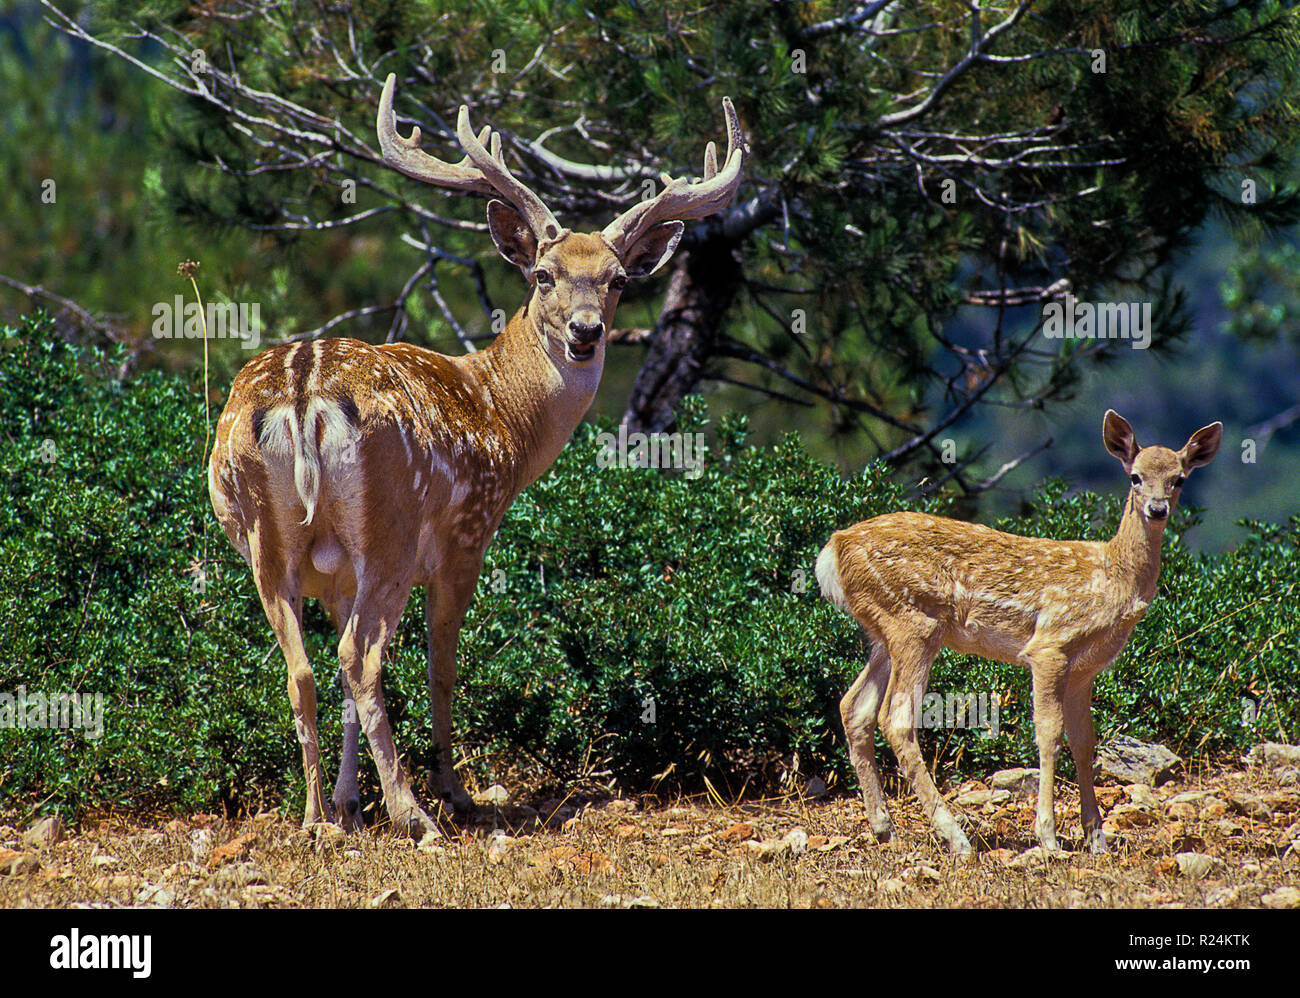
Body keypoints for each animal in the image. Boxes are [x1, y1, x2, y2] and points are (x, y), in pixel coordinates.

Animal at [207, 74, 745, 838]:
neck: (500, 410)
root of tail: (303, 395)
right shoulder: (468, 532)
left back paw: (314, 818)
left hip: (260, 537)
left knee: (306, 667)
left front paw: (348, 803)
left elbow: (336, 684)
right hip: (393, 527)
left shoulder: (336, 575)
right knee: (361, 658)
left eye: (616, 279)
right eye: (544, 274)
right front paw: (450, 793)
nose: (587, 332)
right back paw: (417, 817)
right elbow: (441, 666)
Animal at [815, 411, 1222, 857]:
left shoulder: (1085, 670)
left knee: (854, 707)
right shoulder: (1050, 645)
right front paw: (1049, 835)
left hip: (882, 631)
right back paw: (956, 837)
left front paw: (1096, 837)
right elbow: (1049, 734)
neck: (1114, 577)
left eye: (1179, 479)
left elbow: (1085, 742)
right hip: (914, 624)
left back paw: (884, 827)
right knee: (896, 718)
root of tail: (833, 549)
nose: (1157, 509)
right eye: (1135, 476)